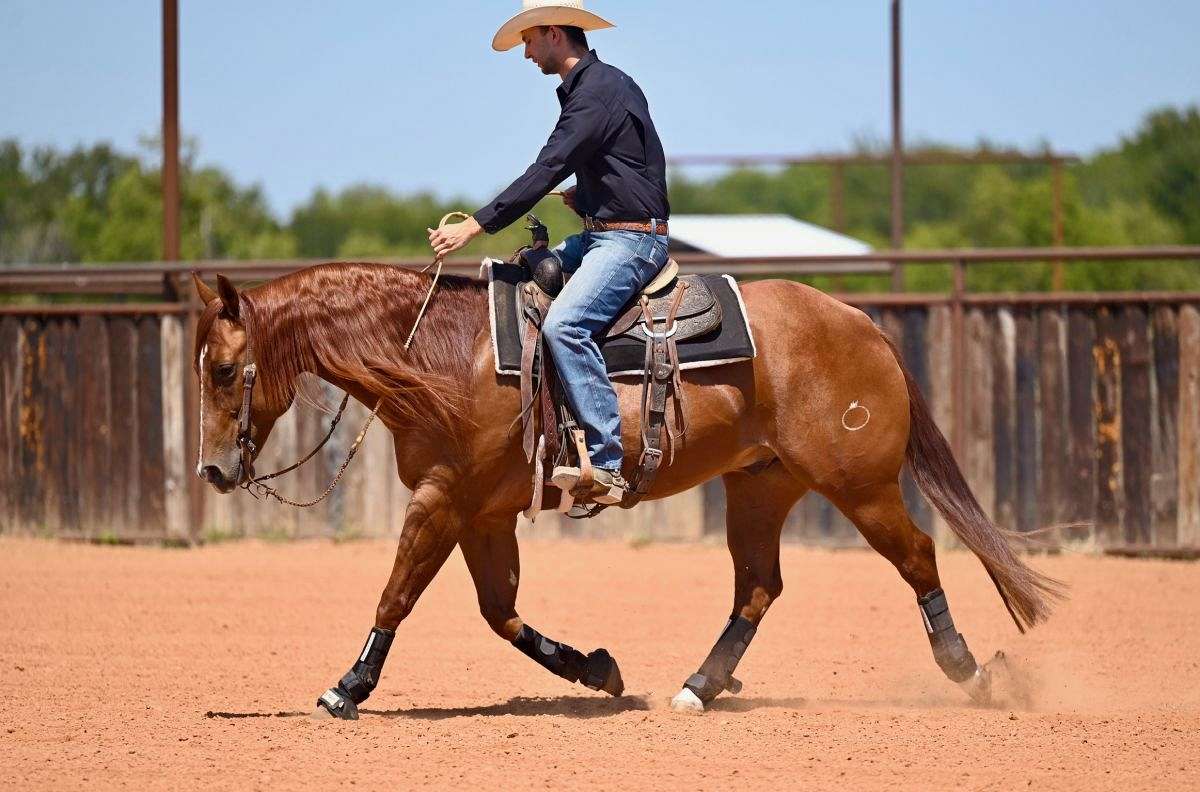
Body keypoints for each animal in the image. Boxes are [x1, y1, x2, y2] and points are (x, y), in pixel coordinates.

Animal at [191, 262, 1060, 719]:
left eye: (227, 369)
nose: (213, 471)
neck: (443, 355)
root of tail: (865, 324)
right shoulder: (483, 514)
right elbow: (500, 613)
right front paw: (597, 670)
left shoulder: (444, 499)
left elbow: (396, 594)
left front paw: (348, 687)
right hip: (760, 488)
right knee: (759, 586)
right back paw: (700, 687)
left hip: (863, 486)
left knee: (918, 558)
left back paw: (970, 673)